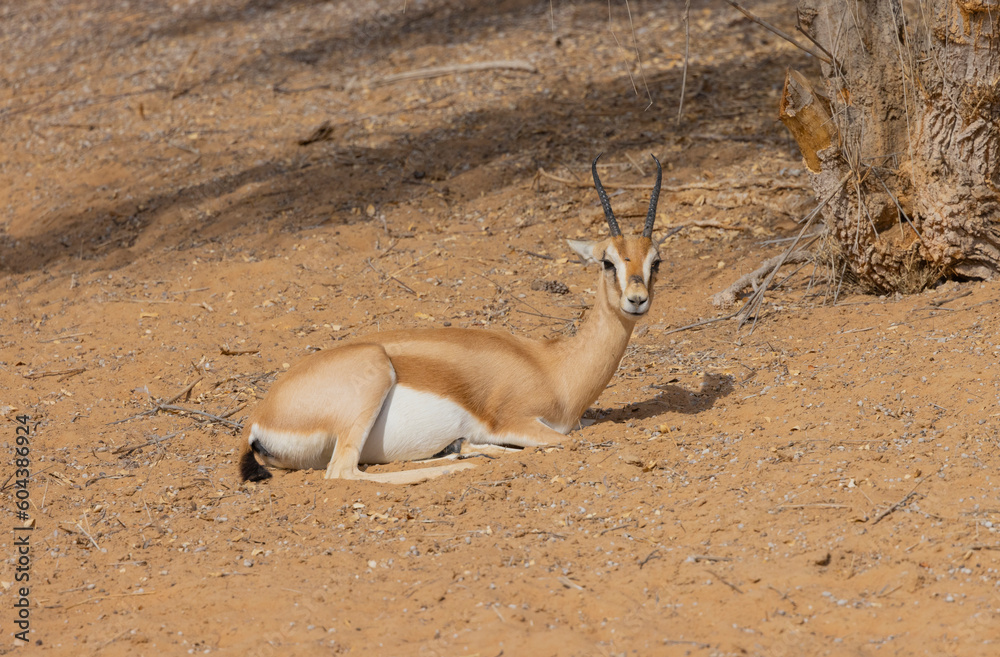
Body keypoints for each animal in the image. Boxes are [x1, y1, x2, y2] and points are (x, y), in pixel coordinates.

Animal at [238, 154, 663, 484]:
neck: (554, 368)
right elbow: (564, 439)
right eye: (607, 262)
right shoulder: (517, 422)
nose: (637, 300)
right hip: (370, 381)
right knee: (343, 472)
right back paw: (453, 467)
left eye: (656, 261)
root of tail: (260, 418)